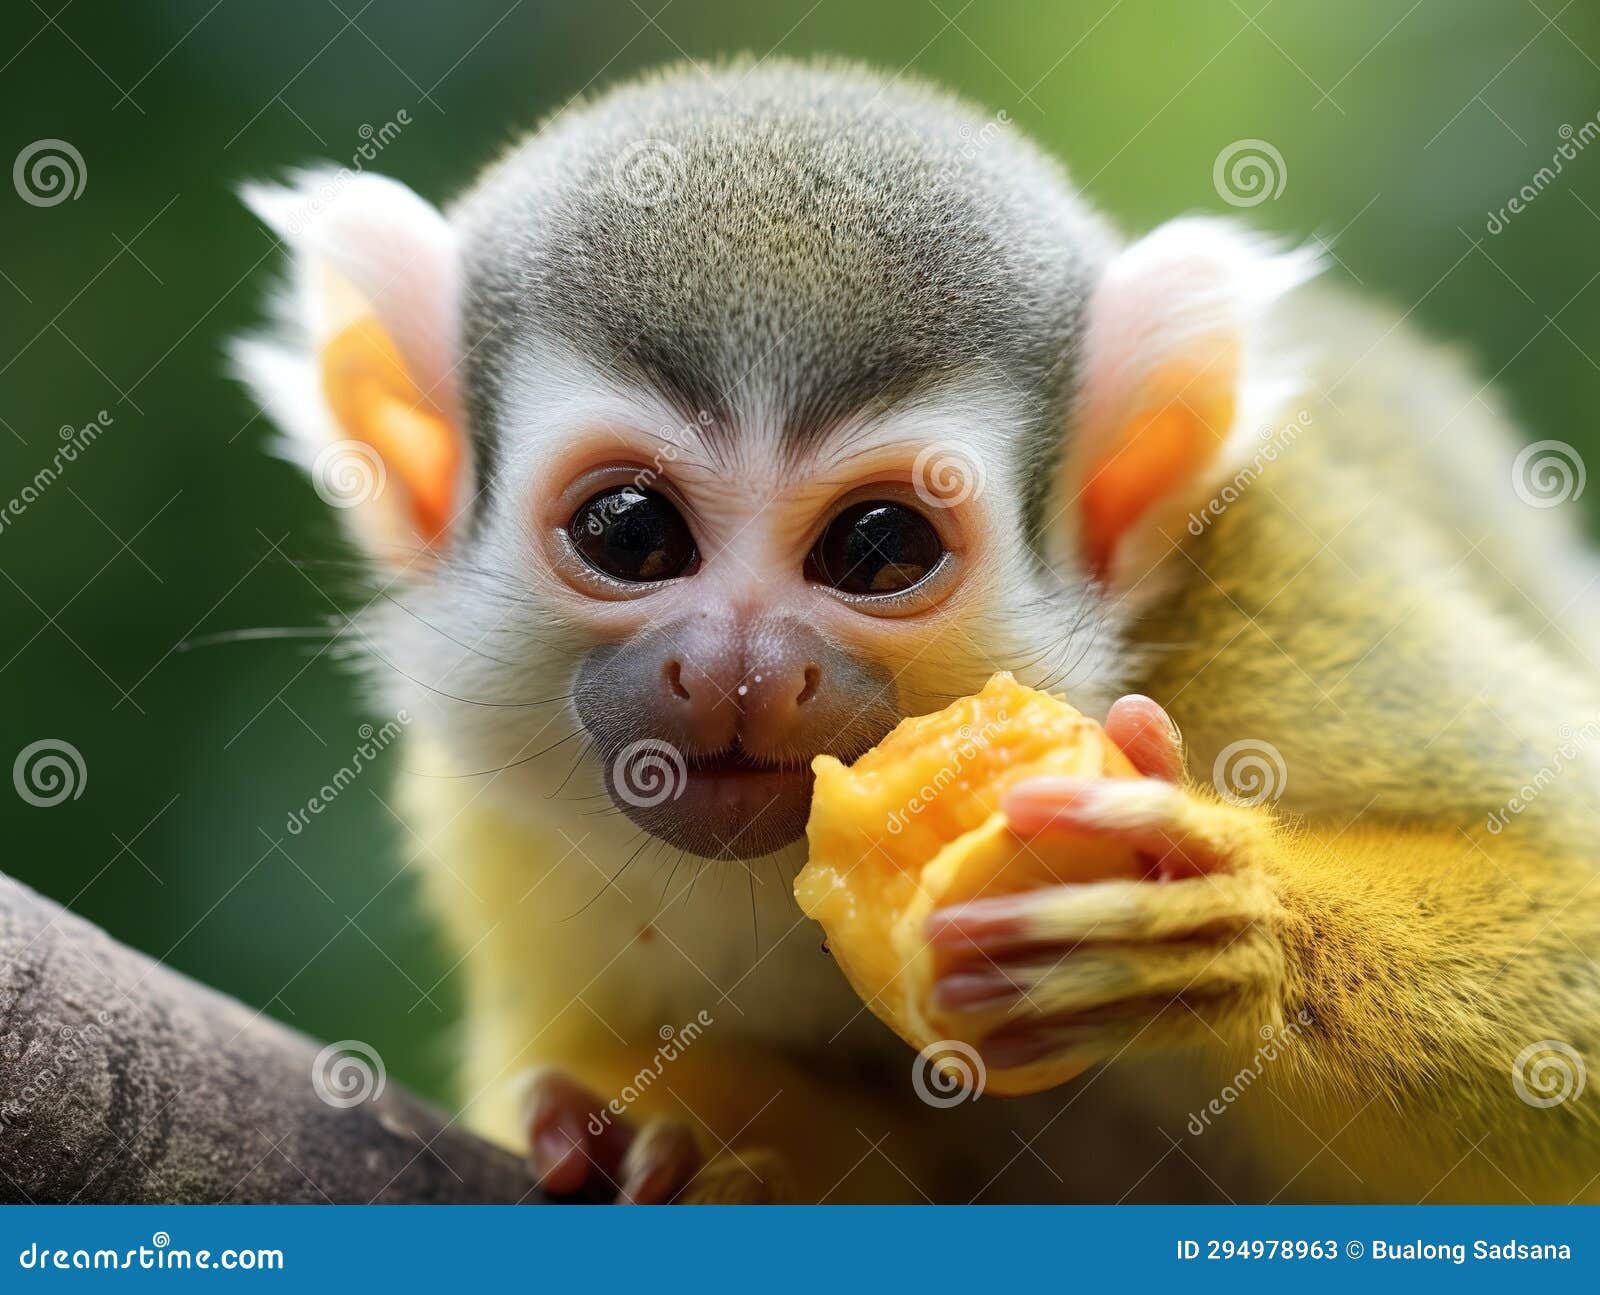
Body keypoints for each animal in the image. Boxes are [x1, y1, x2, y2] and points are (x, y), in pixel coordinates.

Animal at [233, 58, 1600, 1204]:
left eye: (877, 546)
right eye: (631, 532)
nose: (738, 672)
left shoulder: (1267, 582)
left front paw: (1225, 930)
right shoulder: (500, 830)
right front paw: (704, 1139)